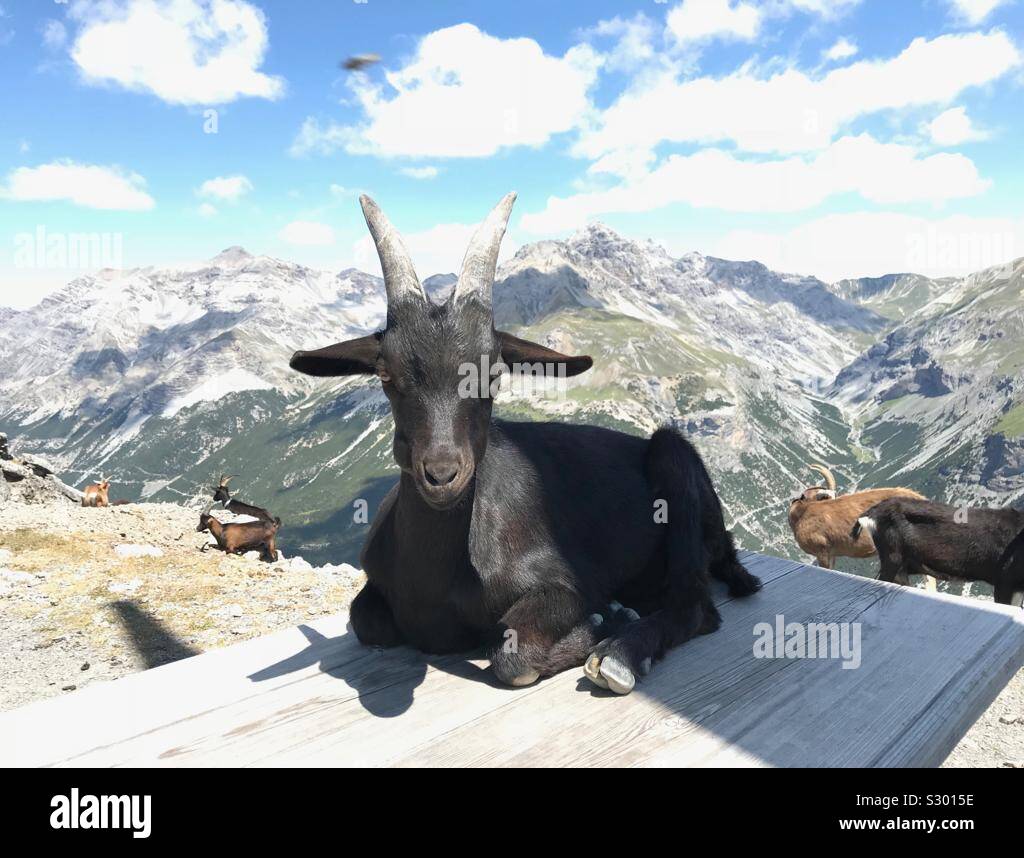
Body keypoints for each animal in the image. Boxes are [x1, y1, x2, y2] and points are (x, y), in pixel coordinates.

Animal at [289, 192, 761, 695]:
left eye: (493, 372)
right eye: (384, 372)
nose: (441, 473)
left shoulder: (566, 581)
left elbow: (513, 656)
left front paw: (607, 620)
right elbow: (364, 620)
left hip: (675, 464)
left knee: (695, 605)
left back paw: (621, 653)